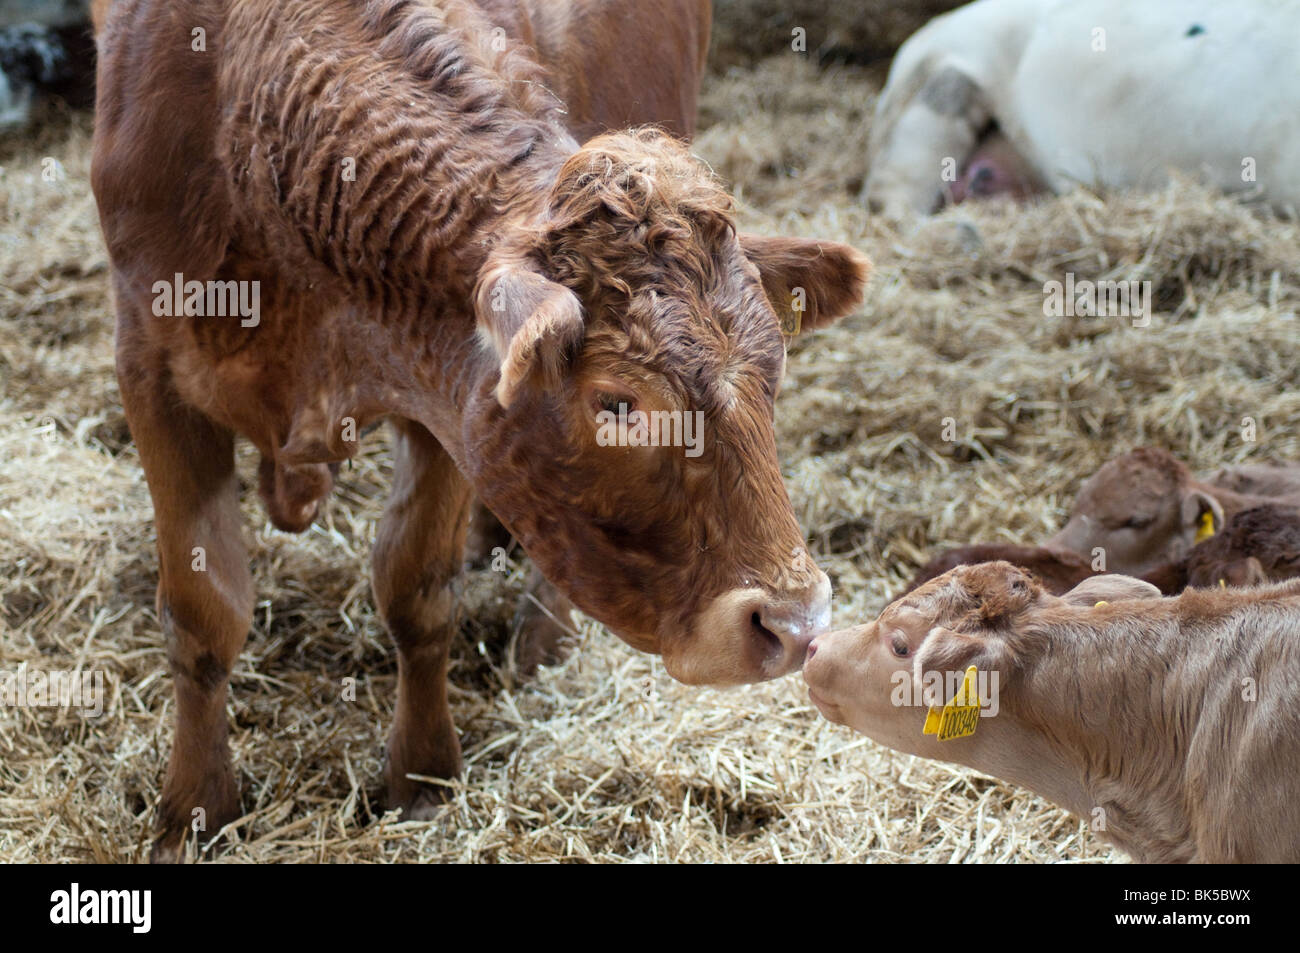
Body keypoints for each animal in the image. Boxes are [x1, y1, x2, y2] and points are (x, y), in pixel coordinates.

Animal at [92, 0, 871, 861]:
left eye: (775, 372)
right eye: (618, 404)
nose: (797, 623)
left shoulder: (439, 398)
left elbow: (416, 590)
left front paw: (423, 776)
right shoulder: (150, 366)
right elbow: (204, 609)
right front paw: (194, 806)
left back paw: (540, 639)